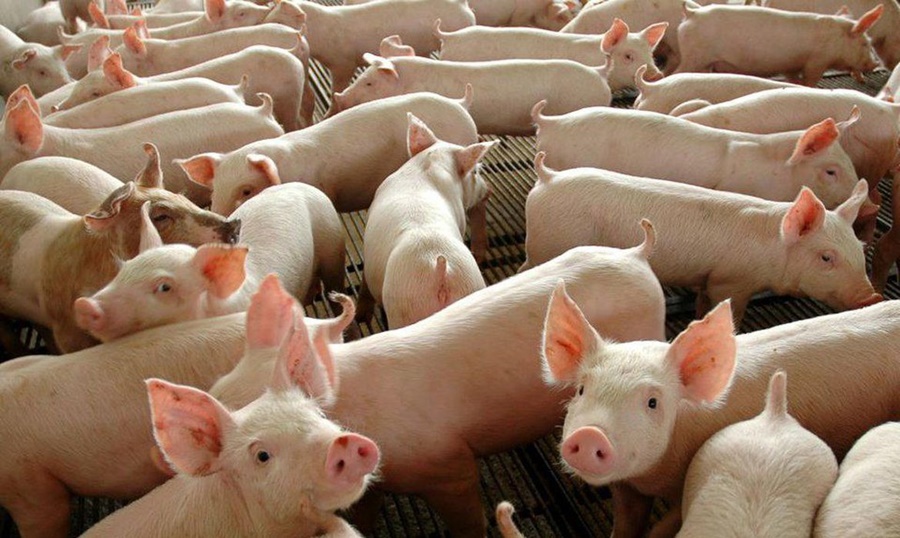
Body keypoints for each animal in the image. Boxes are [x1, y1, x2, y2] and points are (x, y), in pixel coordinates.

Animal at [263, 0, 475, 91]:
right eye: (271, 12)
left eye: (280, 21)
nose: (262, 24)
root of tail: (462, 4)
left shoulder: (343, 64)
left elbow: (337, 88)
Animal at [358, 114, 491, 328]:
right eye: (476, 172)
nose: (488, 191)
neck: (426, 171)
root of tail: (440, 270)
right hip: (470, 284)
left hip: (405, 307)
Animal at [523, 154, 879, 323]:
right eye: (826, 257)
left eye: (860, 250)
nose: (872, 297)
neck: (772, 246)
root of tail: (548, 177)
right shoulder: (731, 280)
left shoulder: (708, 278)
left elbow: (702, 306)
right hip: (547, 242)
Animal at [673, 3, 884, 86]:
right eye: (865, 43)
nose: (875, 64)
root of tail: (692, 13)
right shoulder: (817, 61)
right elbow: (811, 80)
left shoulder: (790, 66)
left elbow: (793, 79)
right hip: (694, 56)